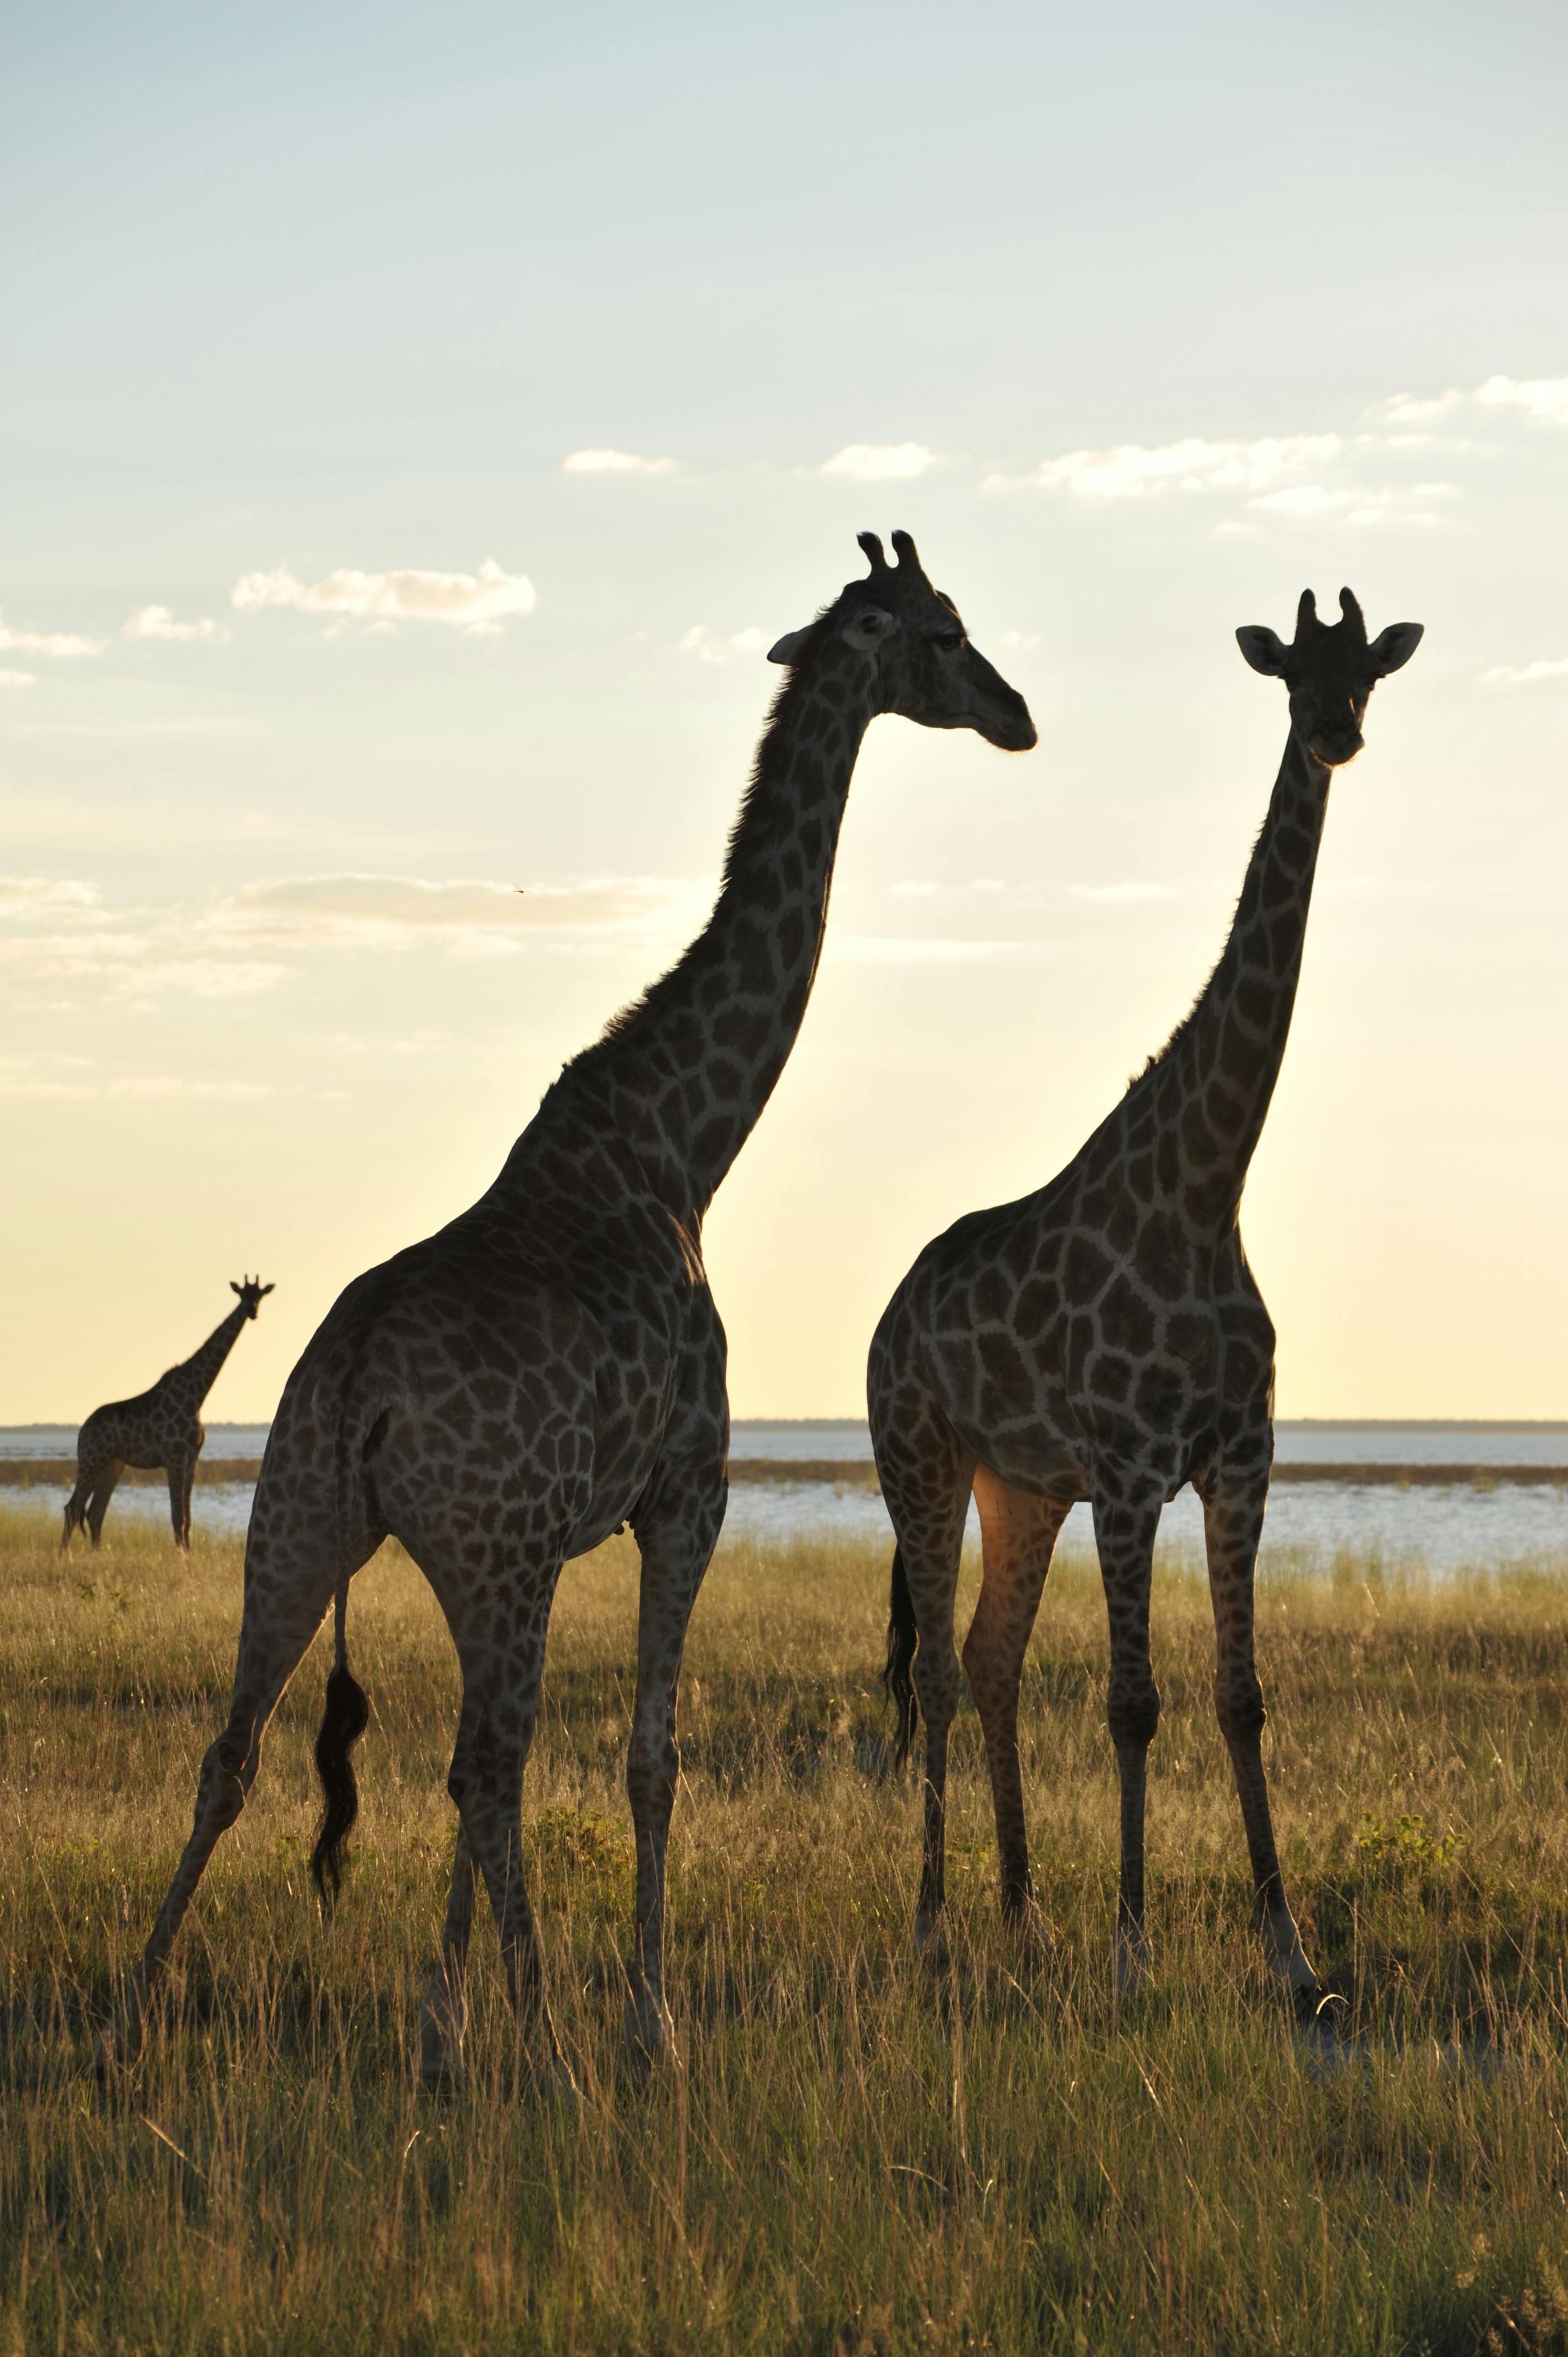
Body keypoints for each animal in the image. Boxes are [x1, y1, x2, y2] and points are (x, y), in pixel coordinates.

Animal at [62, 1278, 275, 1552]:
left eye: (260, 1296)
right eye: (242, 1296)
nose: (253, 1312)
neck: (196, 1395)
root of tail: (82, 1430)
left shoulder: (193, 1458)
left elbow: (189, 1519)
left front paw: (190, 1555)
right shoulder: (175, 1456)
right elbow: (178, 1517)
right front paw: (181, 1557)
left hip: (113, 1464)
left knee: (94, 1513)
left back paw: (97, 1555)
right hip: (92, 1458)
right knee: (73, 1508)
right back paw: (63, 1556)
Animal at [97, 531, 1036, 2091]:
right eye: (947, 631)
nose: (1018, 715)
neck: (684, 1148)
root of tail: (356, 1392)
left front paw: (442, 2015)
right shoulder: (685, 1491)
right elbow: (653, 1757)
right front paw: (646, 2021)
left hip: (299, 1523)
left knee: (241, 1751)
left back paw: (136, 2012)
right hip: (494, 1553)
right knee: (485, 1765)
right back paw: (543, 2033)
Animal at [870, 586, 1422, 2020]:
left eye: (1367, 675)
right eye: (1290, 677)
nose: (1336, 735)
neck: (1209, 1184)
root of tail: (887, 1311)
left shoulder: (1238, 1455)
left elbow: (1239, 1696)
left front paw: (1291, 1954)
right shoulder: (1127, 1465)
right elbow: (1133, 1701)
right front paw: (1131, 1951)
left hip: (1021, 1486)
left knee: (992, 1657)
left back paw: (1020, 1918)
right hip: (921, 1456)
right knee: (938, 1670)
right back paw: (933, 1927)